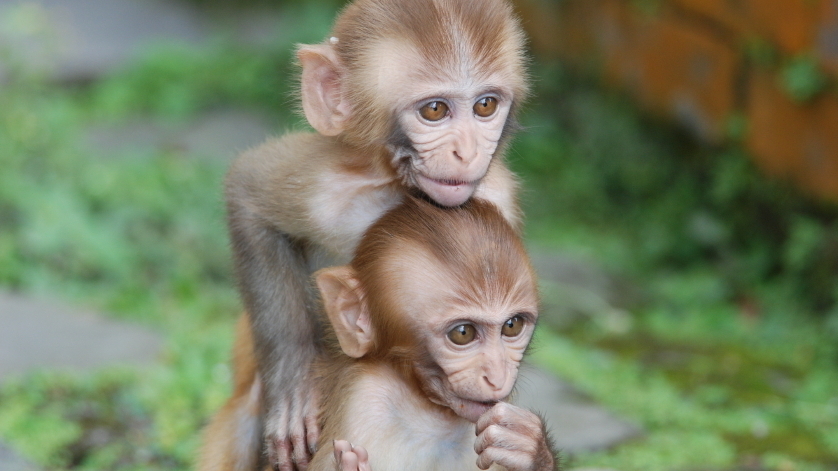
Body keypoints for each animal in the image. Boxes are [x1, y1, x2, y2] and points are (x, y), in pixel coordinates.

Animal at [200, 196, 557, 471]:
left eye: (512, 326)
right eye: (463, 333)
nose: (497, 377)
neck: (426, 408)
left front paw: (528, 448)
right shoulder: (366, 405)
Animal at [224, 0, 529, 468]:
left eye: (485, 105)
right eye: (435, 111)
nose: (468, 151)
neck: (401, 190)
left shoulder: (499, 198)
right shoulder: (328, 183)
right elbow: (247, 196)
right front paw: (294, 387)